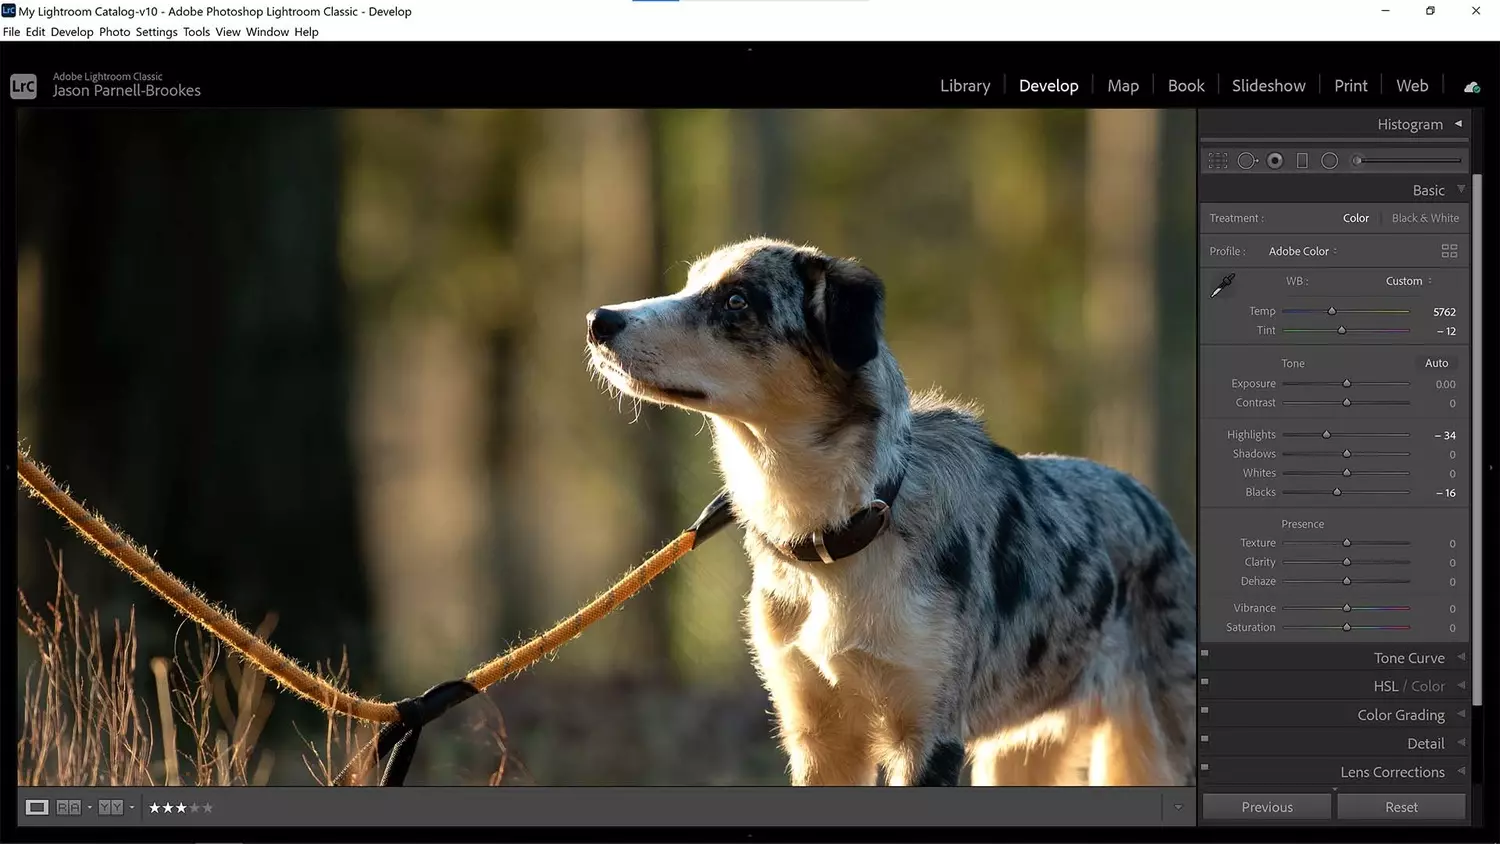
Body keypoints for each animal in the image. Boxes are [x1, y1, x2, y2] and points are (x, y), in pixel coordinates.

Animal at [582, 236, 1194, 785]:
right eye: (689, 284)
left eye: (736, 300)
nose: (598, 320)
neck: (842, 529)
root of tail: (1154, 509)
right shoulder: (820, 737)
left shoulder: (928, 739)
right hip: (1021, 752)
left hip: (1157, 745)